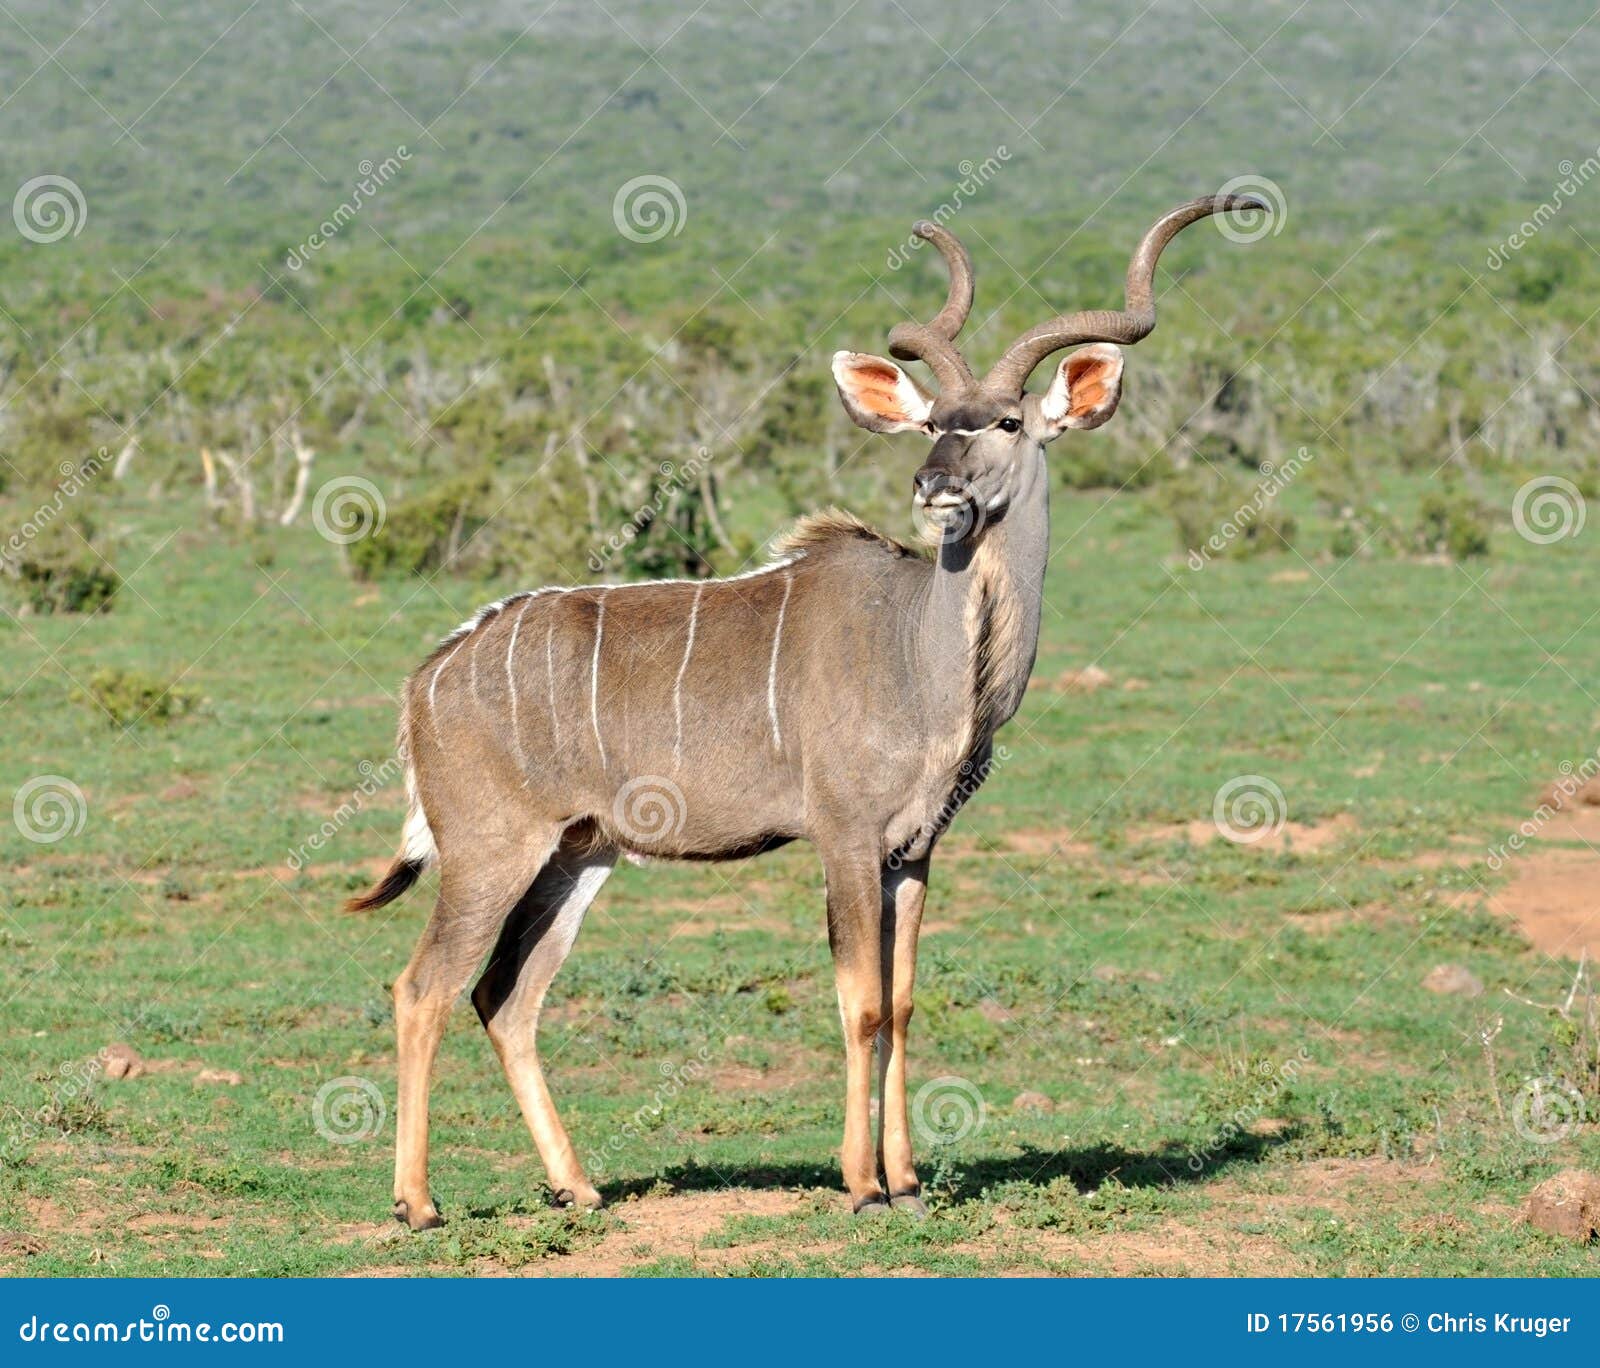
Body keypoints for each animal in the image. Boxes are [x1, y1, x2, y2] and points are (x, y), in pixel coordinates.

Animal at [349, 193, 1265, 1228]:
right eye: (931, 423)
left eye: (1004, 422)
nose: (936, 486)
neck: (922, 653)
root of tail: (430, 673)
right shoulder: (845, 839)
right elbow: (858, 1003)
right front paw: (861, 1184)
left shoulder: (915, 852)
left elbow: (902, 1002)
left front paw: (908, 1181)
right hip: (490, 852)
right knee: (424, 986)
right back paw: (417, 1204)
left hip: (577, 856)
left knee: (505, 996)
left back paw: (577, 1188)